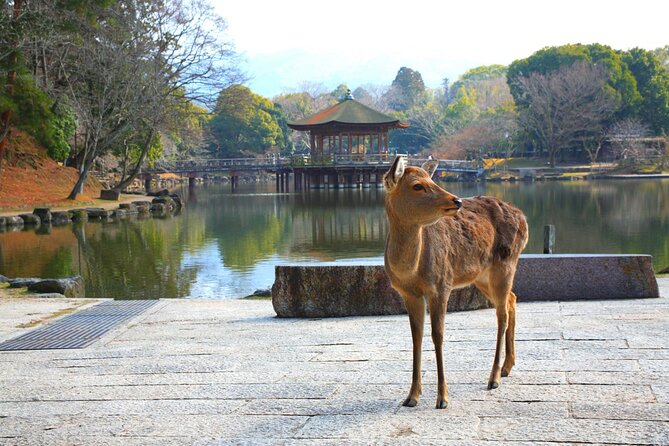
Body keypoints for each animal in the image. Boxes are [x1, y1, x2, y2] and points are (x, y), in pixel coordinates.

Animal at [383, 155, 529, 409]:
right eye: (417, 185)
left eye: (432, 179)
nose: (457, 200)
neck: (411, 271)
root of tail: (523, 217)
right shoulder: (409, 293)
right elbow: (416, 337)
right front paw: (411, 397)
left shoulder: (441, 284)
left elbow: (438, 335)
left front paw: (442, 398)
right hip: (482, 275)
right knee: (512, 298)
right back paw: (507, 367)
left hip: (506, 263)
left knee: (502, 314)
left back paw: (494, 378)